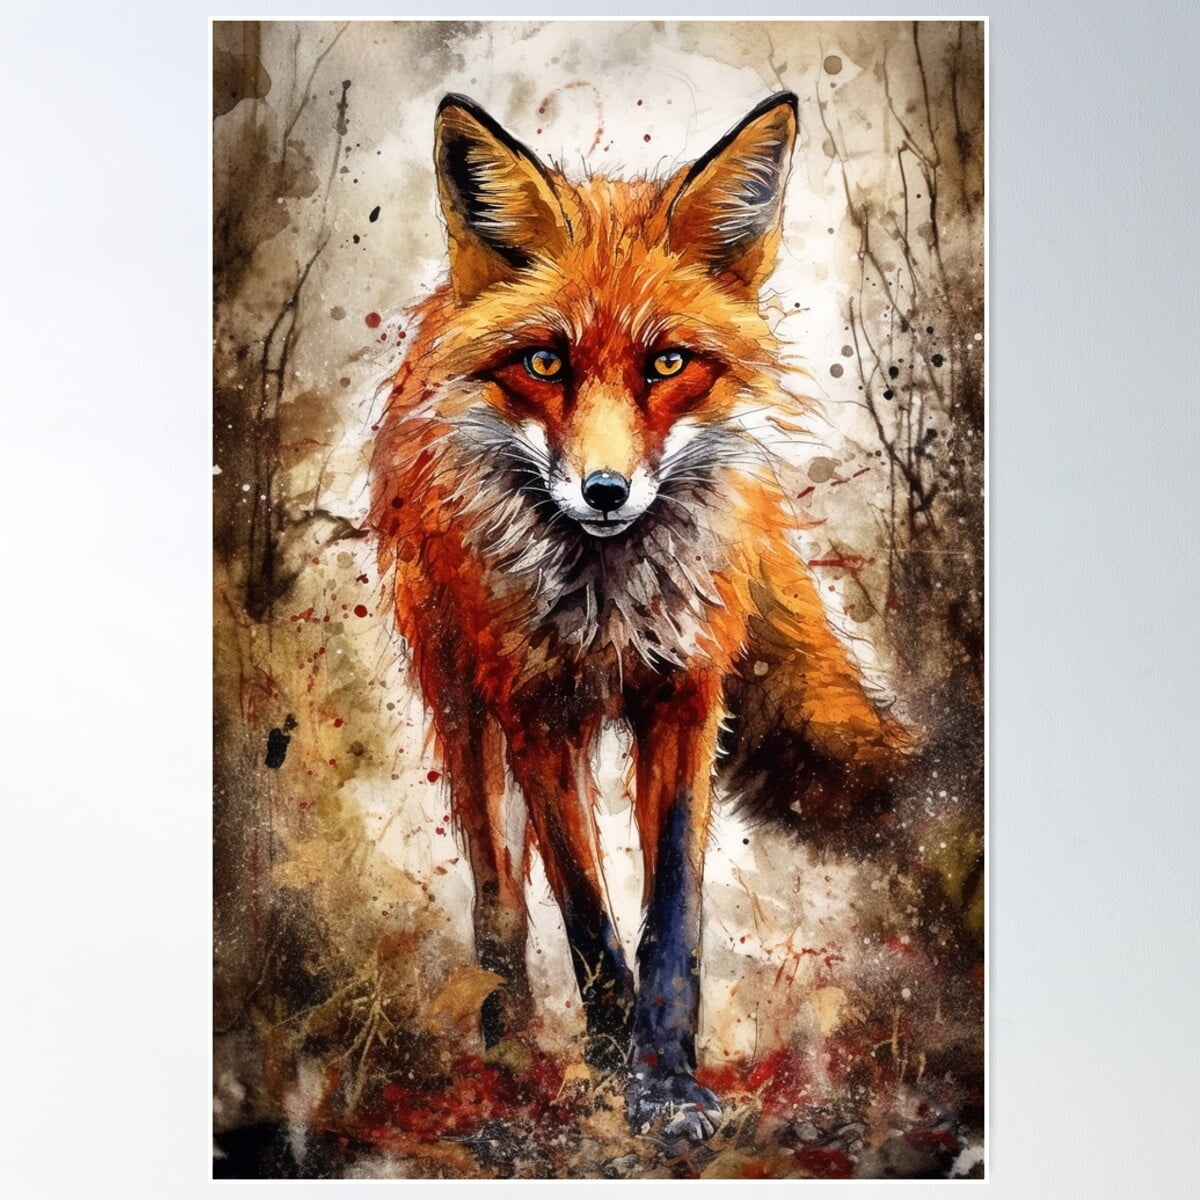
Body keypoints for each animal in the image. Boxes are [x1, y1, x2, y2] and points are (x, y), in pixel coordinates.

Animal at [369, 92, 912, 1141]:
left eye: (667, 362)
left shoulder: (687, 698)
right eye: (546, 360)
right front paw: (617, 1067)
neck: (609, 604)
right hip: (461, 703)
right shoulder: (534, 714)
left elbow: (672, 917)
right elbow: (586, 915)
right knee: (498, 888)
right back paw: (509, 1032)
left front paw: (666, 1082)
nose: (606, 491)